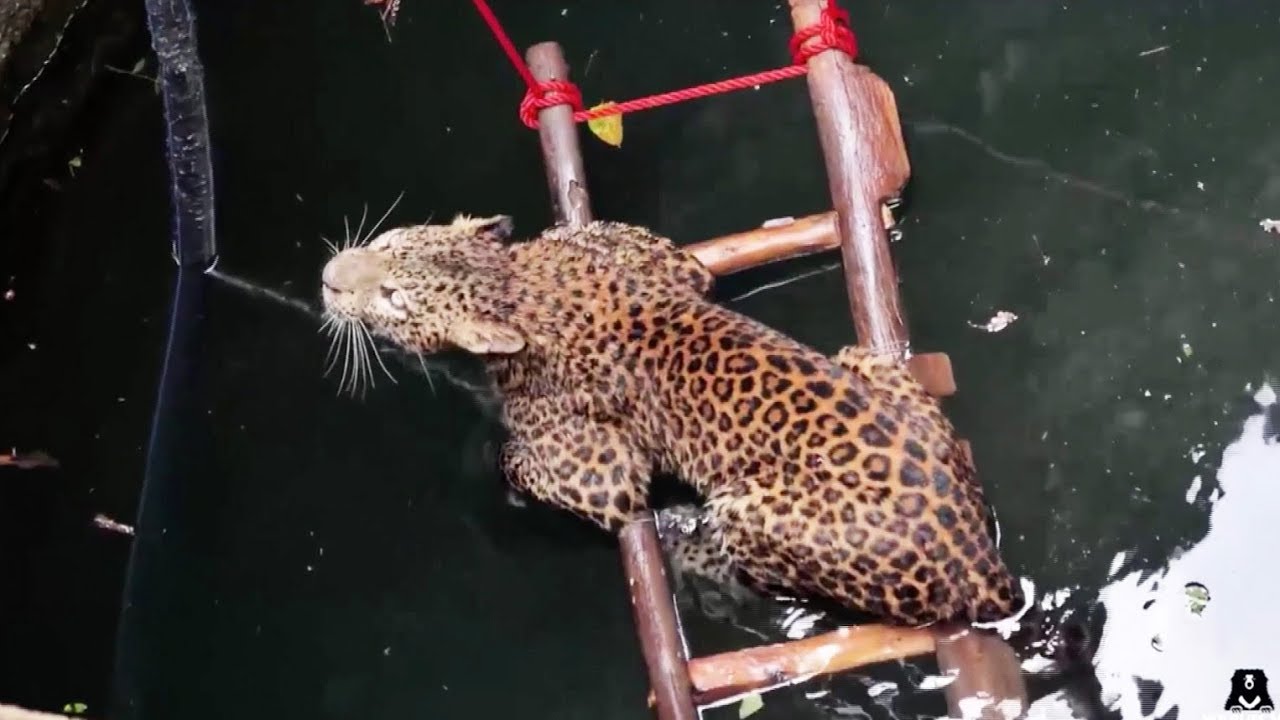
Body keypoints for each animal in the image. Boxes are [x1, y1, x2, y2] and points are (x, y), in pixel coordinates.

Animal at [318, 213, 1025, 627]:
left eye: (394, 297)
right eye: (385, 242)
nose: (327, 277)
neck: (517, 284)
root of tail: (981, 565)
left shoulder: (601, 473)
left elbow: (523, 460)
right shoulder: (665, 260)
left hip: (749, 512)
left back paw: (685, 537)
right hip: (864, 360)